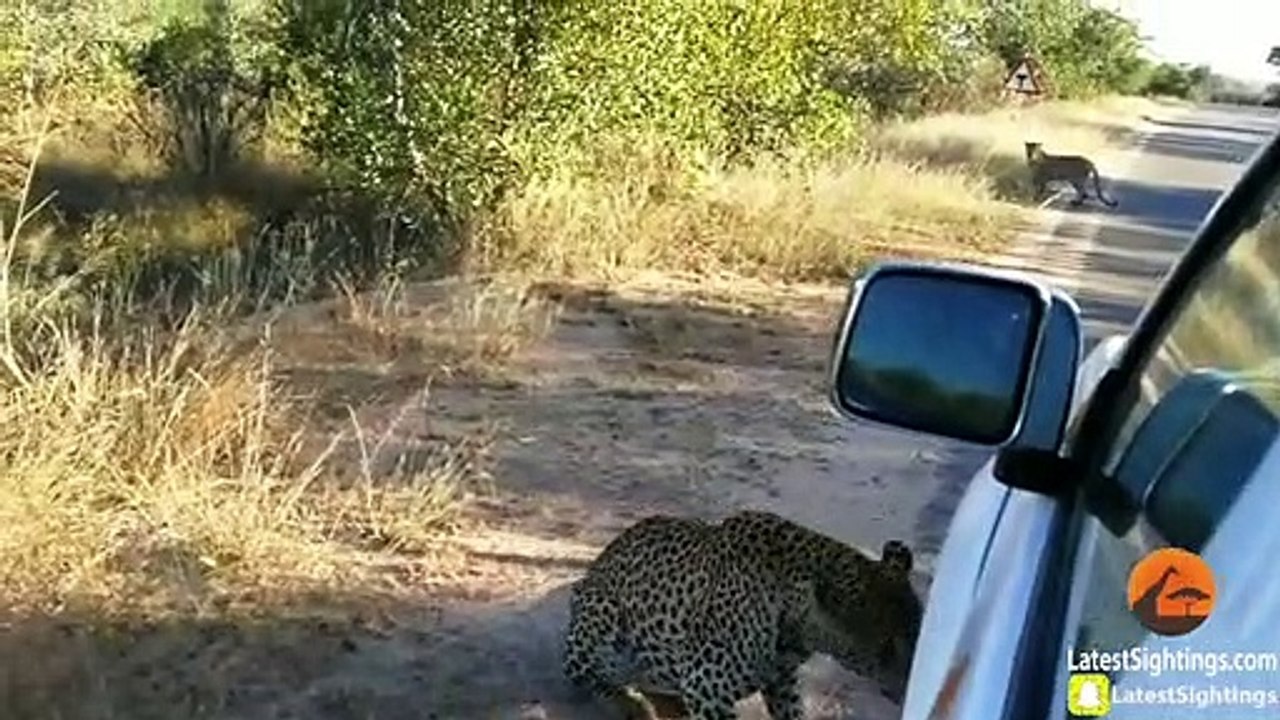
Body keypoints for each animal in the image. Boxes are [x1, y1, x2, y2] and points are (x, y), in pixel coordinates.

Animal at [561, 510, 923, 720]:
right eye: (888, 647)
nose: (910, 681)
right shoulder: (707, 688)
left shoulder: (783, 681)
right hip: (601, 614)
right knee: (589, 676)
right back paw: (634, 704)